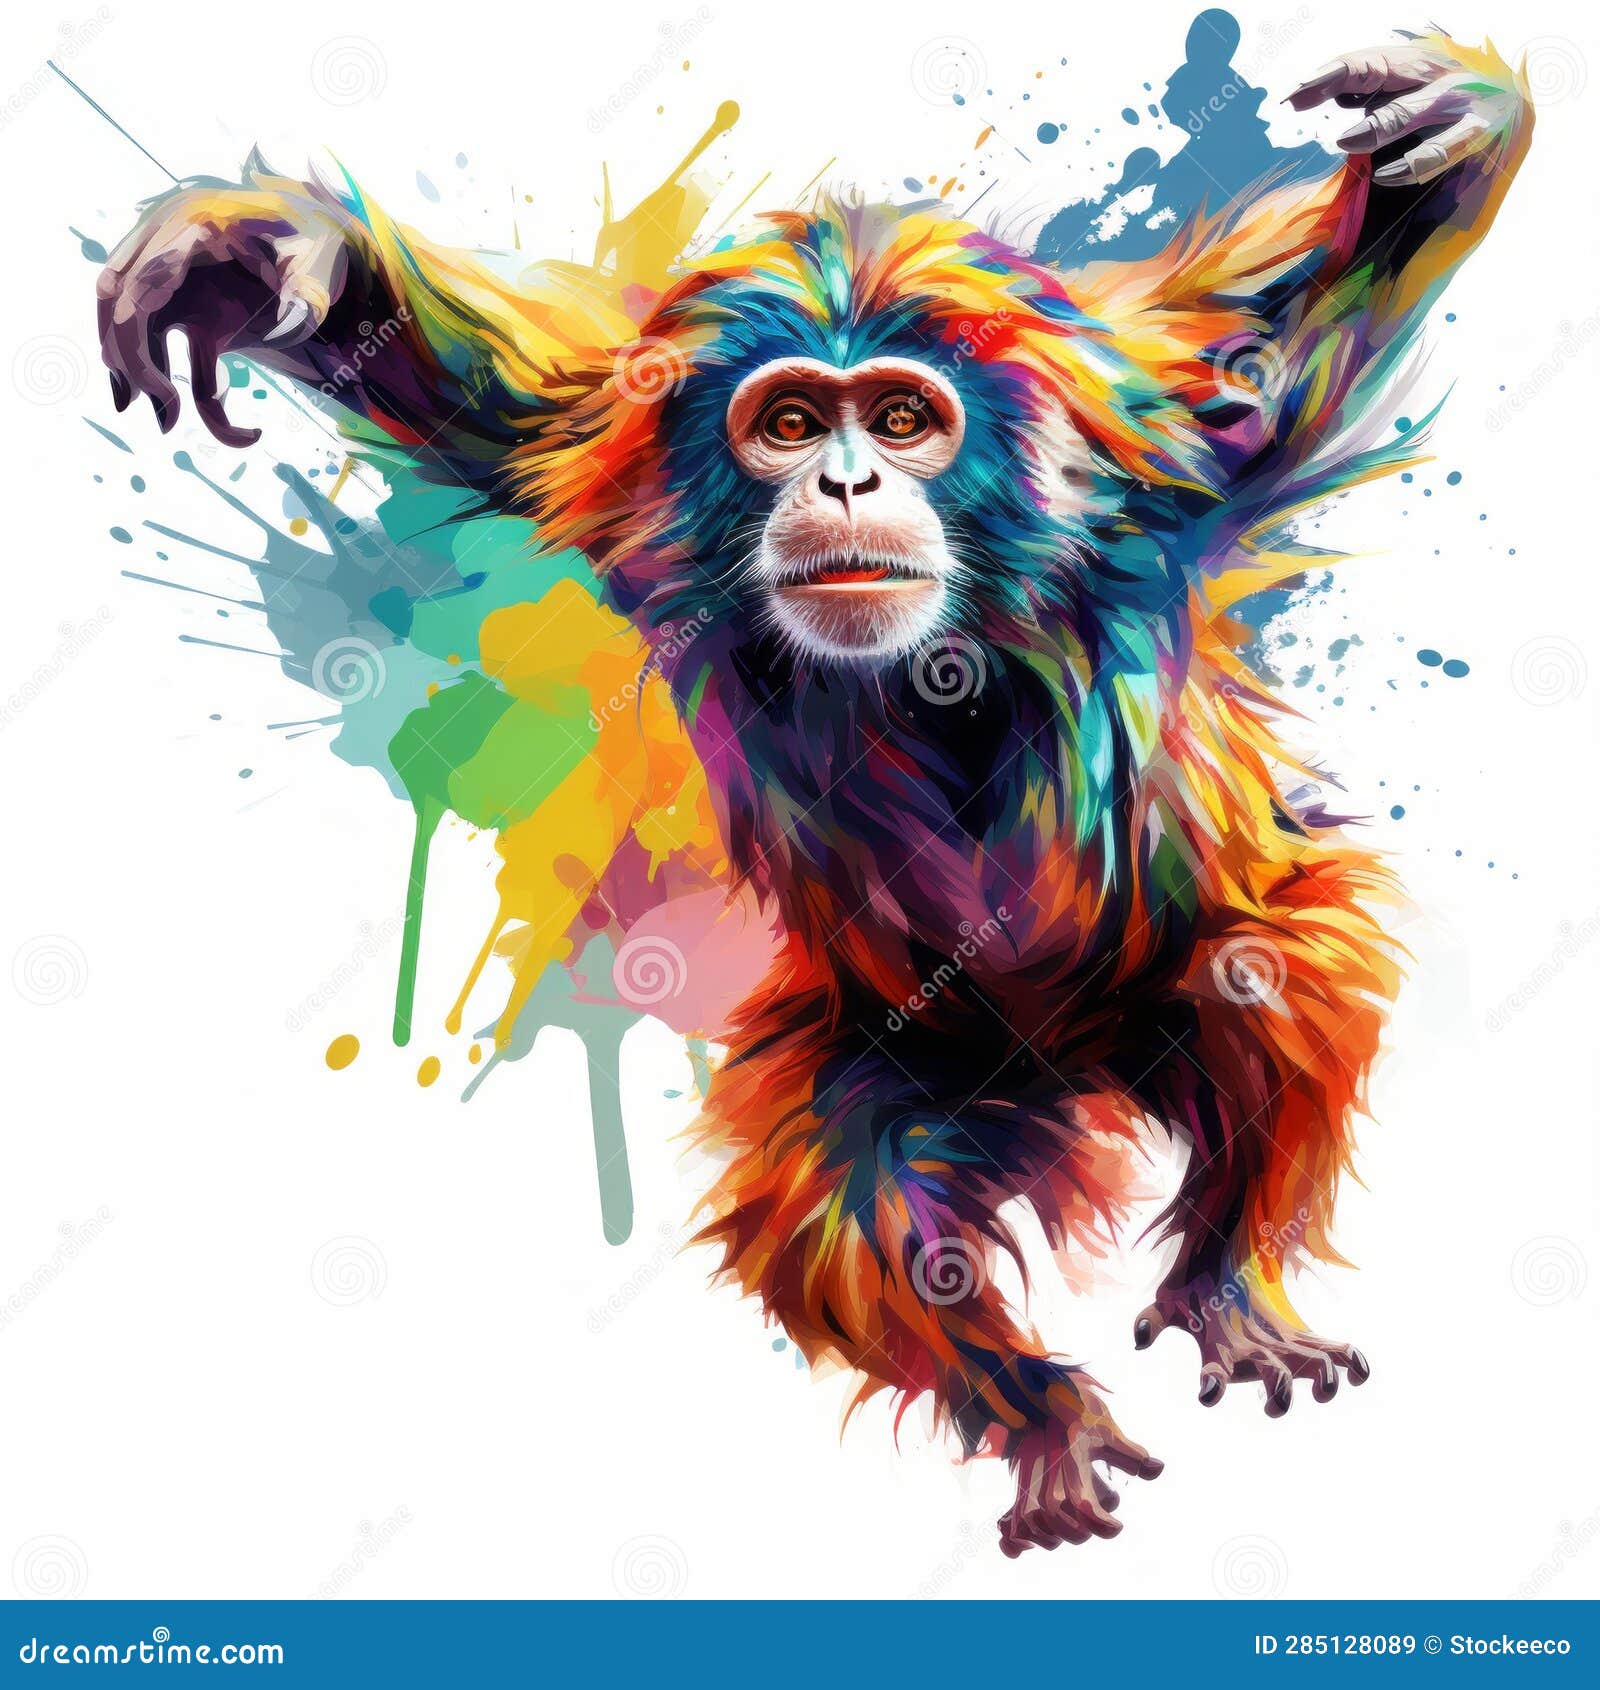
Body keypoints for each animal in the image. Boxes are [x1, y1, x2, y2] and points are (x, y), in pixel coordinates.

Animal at [94, 32, 1530, 1554]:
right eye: (789, 422)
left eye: (901, 418)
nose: (843, 477)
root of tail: (1071, 1058)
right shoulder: (623, 448)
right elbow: (478, 393)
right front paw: (263, 257)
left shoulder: (1158, 453)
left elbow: (1290, 334)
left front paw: (1450, 127)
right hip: (911, 1049)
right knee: (846, 1184)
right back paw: (1037, 1410)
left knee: (1257, 966)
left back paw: (1225, 1287)